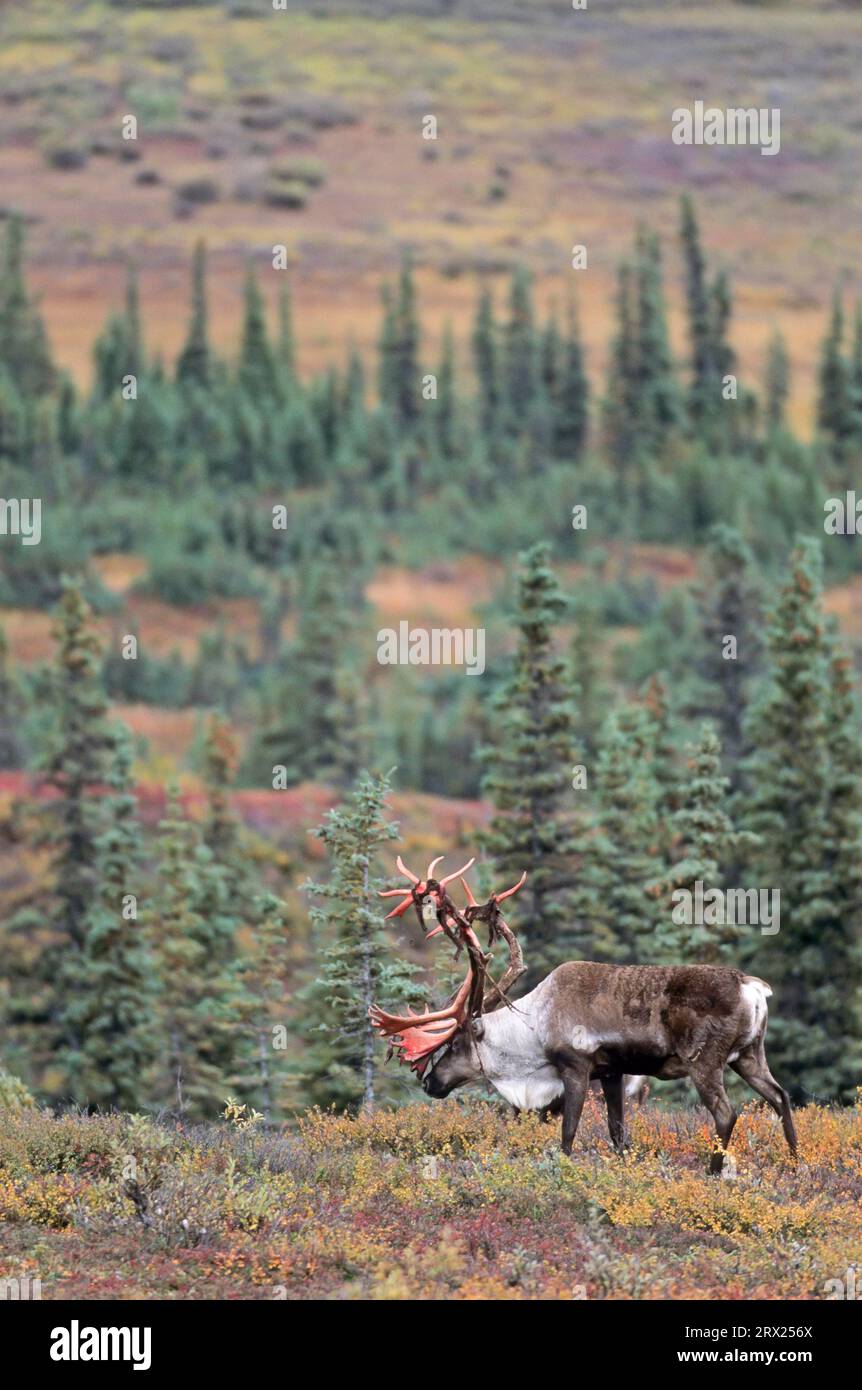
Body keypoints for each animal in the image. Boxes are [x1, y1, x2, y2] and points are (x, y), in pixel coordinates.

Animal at [371, 855, 798, 1175]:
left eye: (456, 1043)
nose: (429, 1082)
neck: (534, 1027)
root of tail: (754, 989)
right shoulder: (612, 1071)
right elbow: (617, 1132)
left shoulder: (575, 1067)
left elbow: (568, 1133)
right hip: (749, 1055)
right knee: (781, 1096)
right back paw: (795, 1163)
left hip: (705, 1060)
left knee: (727, 1112)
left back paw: (713, 1171)